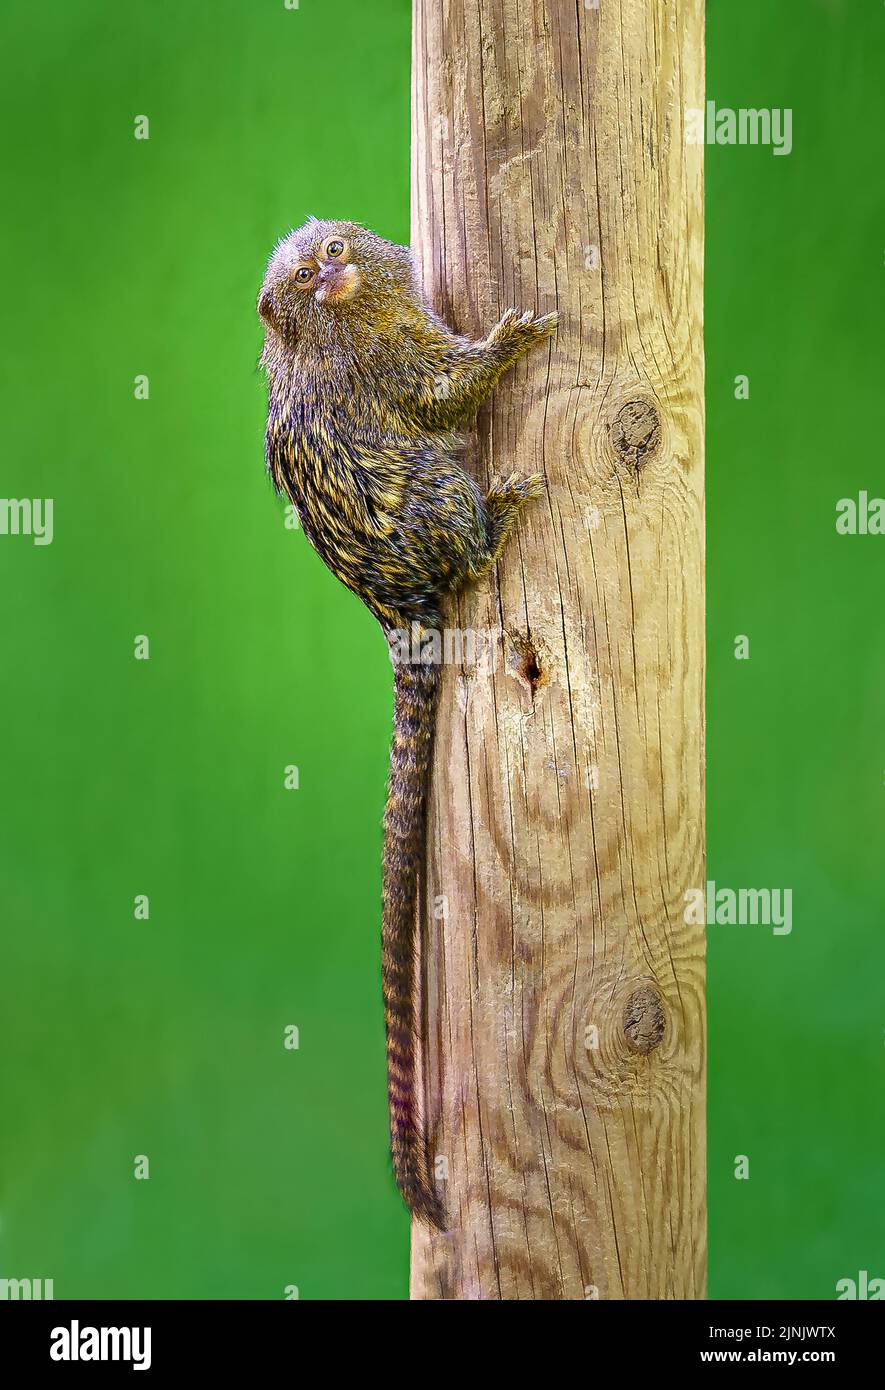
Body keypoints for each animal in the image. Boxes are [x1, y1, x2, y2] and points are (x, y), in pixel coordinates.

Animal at [258, 218, 557, 1229]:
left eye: (332, 251)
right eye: (302, 282)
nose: (332, 275)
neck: (338, 331)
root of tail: (394, 610)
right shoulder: (388, 372)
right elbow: (441, 397)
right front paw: (507, 346)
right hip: (428, 512)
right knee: (441, 503)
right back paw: (492, 528)